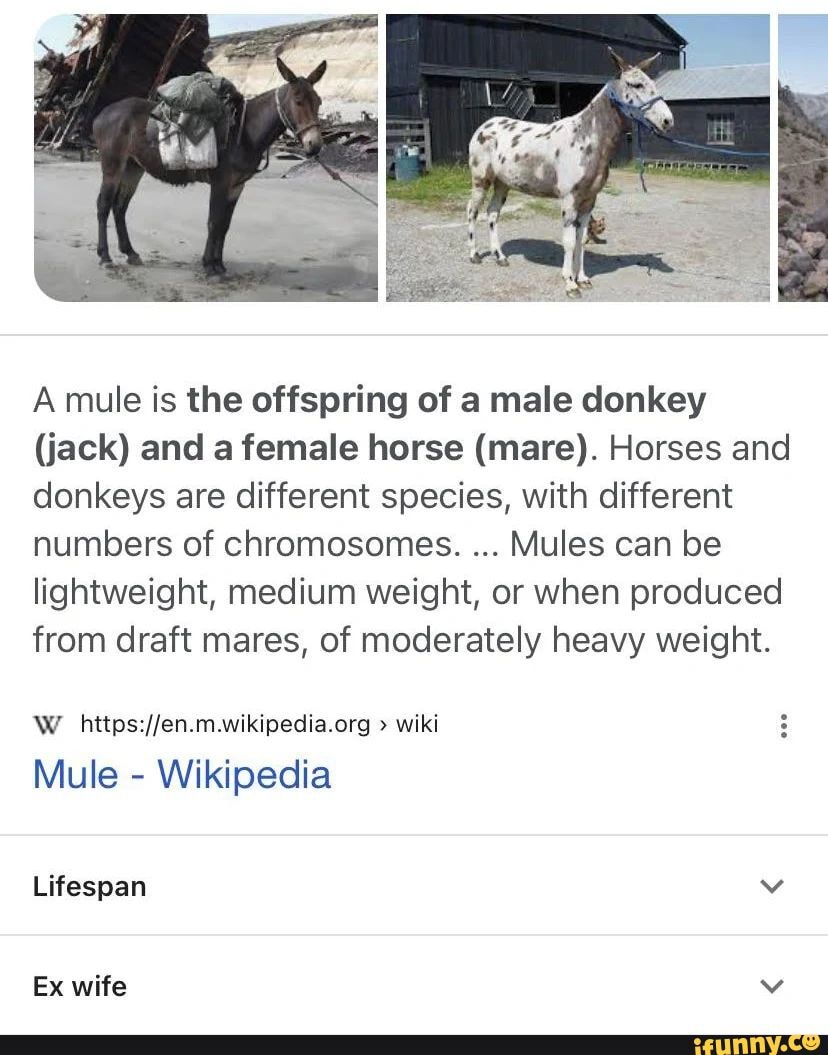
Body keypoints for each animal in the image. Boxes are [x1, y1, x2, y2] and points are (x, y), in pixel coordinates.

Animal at [91, 57, 326, 275]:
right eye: (298, 101)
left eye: (319, 102)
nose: (315, 145)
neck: (244, 131)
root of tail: (103, 113)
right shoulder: (220, 183)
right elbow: (214, 222)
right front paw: (210, 266)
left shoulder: (236, 186)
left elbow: (224, 225)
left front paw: (218, 265)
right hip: (112, 166)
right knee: (103, 205)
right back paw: (105, 257)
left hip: (133, 168)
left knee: (119, 207)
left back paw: (130, 253)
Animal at [466, 48, 673, 295]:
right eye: (636, 84)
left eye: (652, 83)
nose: (667, 120)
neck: (585, 138)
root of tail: (484, 126)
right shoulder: (569, 199)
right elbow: (569, 241)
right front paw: (570, 283)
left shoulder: (589, 200)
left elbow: (582, 239)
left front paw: (582, 278)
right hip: (481, 179)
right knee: (472, 211)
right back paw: (474, 255)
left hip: (502, 183)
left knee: (492, 213)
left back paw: (500, 257)